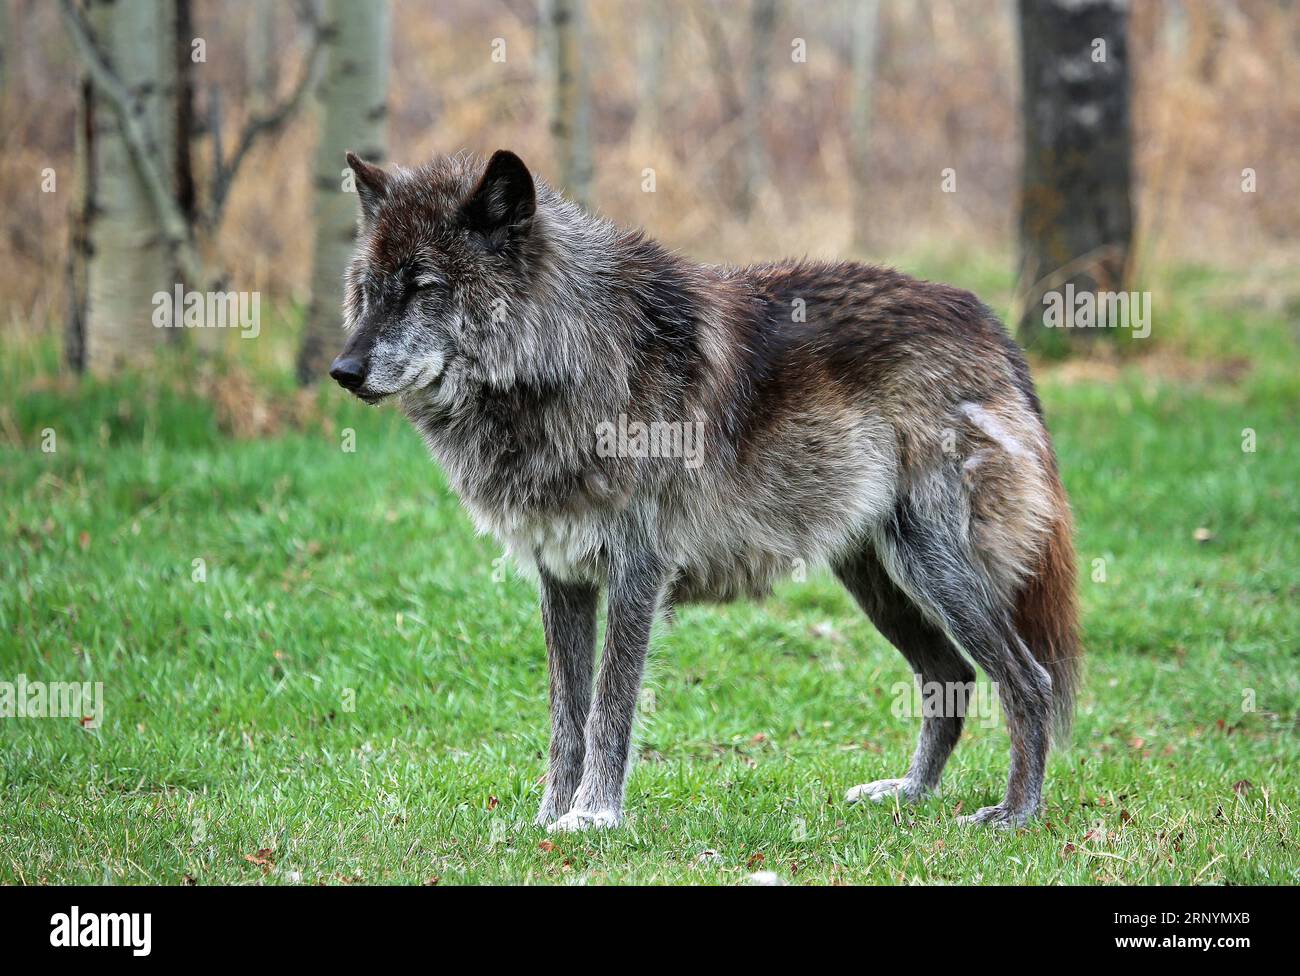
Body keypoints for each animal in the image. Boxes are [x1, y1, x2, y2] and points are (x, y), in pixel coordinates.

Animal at [329, 149, 1081, 831]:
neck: (573, 357)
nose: (343, 370)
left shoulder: (637, 572)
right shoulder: (561, 577)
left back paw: (1017, 814)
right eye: (370, 288)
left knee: (1029, 682)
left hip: (935, 571)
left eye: (425, 286)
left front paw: (594, 816)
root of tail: (988, 323)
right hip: (879, 579)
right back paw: (908, 795)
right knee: (951, 679)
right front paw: (546, 819)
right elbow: (566, 718)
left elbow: (610, 706)